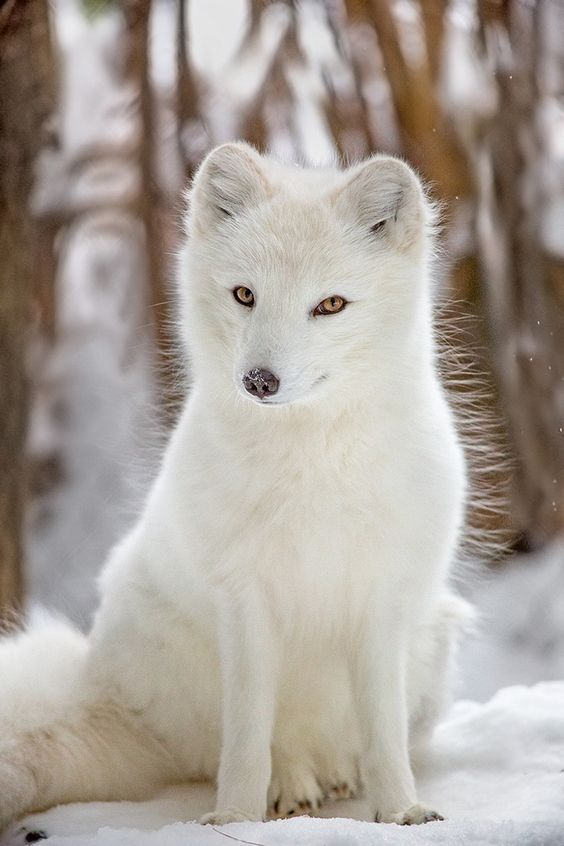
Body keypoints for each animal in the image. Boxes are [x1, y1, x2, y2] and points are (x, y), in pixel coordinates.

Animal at [0, 142, 472, 832]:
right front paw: (235, 818)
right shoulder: (245, 598)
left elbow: (383, 732)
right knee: (263, 744)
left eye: (331, 305)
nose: (259, 381)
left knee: (338, 744)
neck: (310, 465)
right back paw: (291, 790)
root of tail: (104, 690)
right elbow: (249, 734)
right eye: (245, 294)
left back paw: (335, 778)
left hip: (434, 636)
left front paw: (401, 811)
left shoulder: (381, 597)